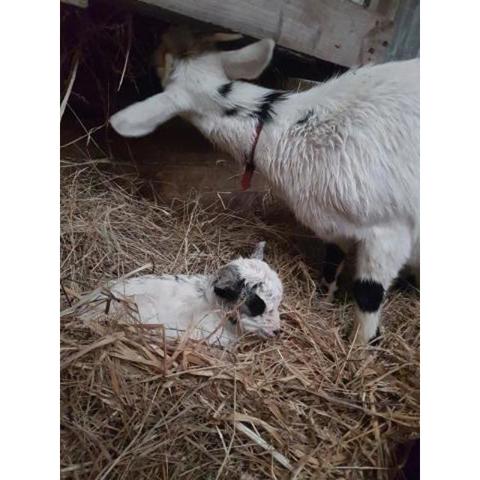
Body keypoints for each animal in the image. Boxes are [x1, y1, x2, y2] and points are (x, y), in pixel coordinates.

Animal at [110, 29, 418, 344]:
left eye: (163, 62)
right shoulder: (336, 224)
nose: (150, 53)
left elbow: (368, 295)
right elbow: (332, 263)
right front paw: (323, 303)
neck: (287, 129)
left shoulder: (388, 232)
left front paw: (359, 347)